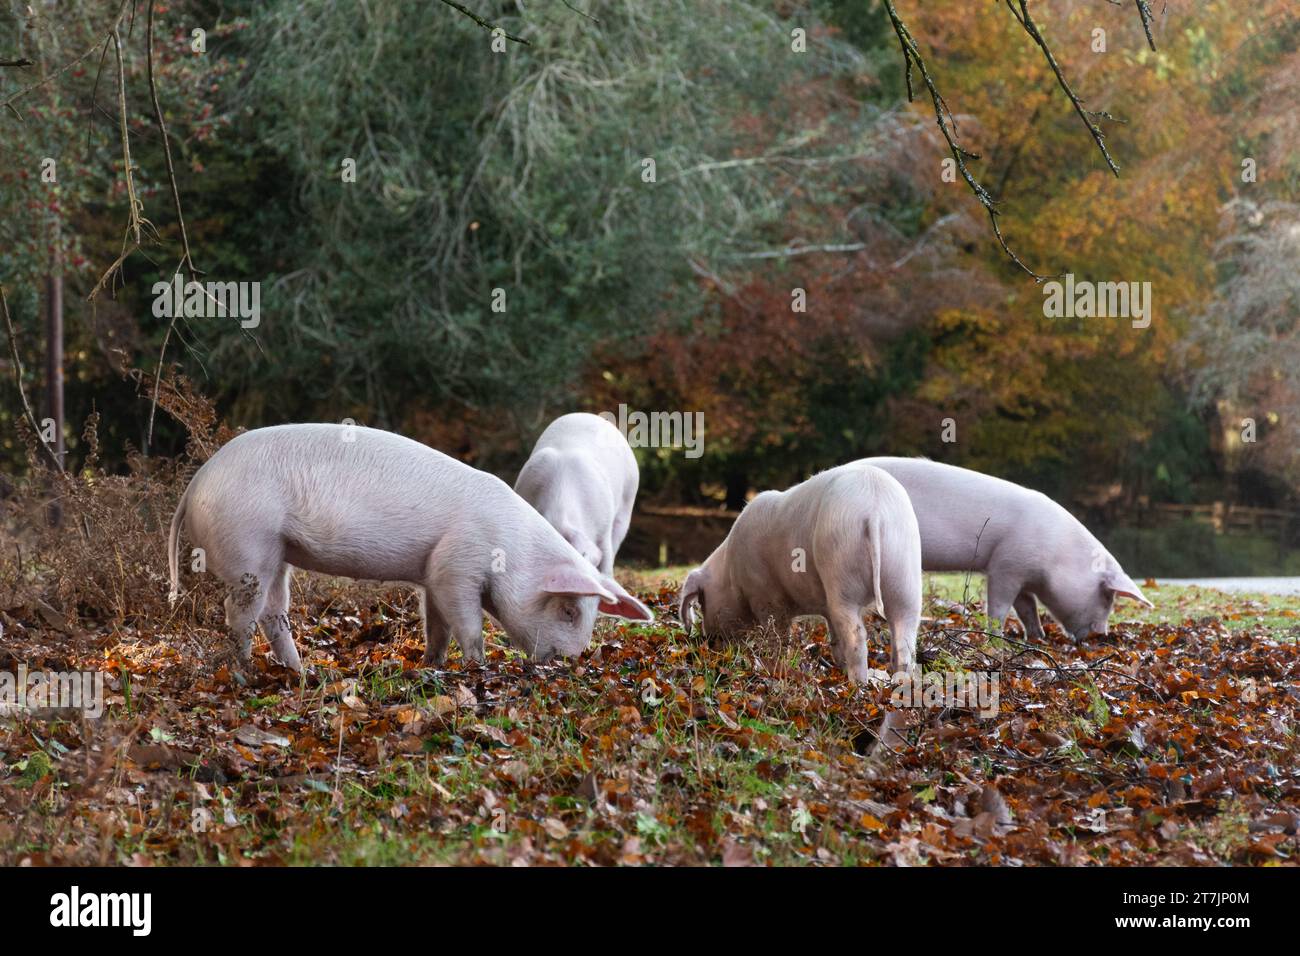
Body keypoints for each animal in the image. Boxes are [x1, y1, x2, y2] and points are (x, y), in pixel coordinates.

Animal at [678, 462, 922, 683]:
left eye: (702, 601)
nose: (710, 643)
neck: (730, 572)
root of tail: (874, 509)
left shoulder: (765, 596)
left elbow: (778, 634)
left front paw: (775, 661)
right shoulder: (825, 608)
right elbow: (834, 636)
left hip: (842, 571)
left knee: (857, 635)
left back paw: (857, 685)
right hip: (904, 573)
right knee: (905, 637)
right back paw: (898, 684)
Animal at [864, 457, 1152, 640]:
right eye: (1106, 598)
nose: (1101, 635)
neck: (1058, 556)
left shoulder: (1024, 576)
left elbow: (1028, 608)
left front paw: (1038, 638)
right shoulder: (1005, 566)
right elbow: (1001, 606)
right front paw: (996, 638)